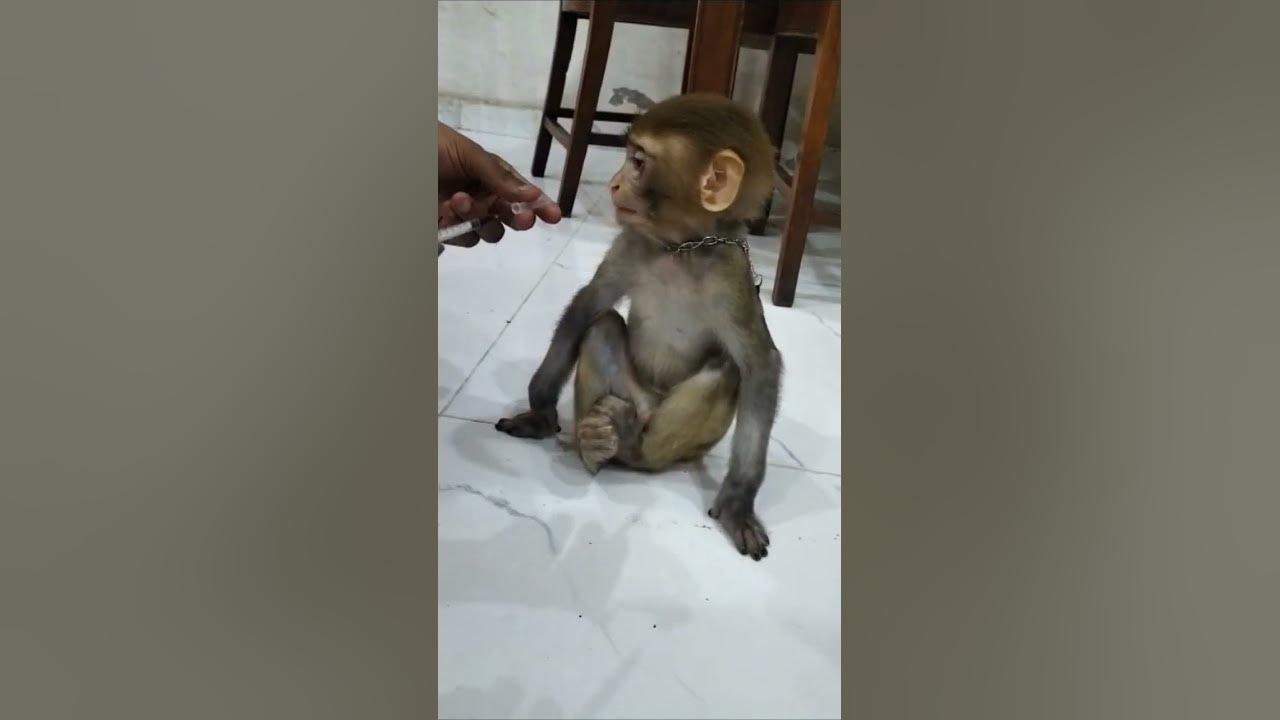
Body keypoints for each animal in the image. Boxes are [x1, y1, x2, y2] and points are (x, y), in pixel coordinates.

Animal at [496, 93, 783, 561]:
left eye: (639, 162)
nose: (614, 184)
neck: (682, 248)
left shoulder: (731, 276)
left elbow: (759, 364)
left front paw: (739, 500)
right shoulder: (632, 242)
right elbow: (588, 306)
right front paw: (540, 412)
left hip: (676, 437)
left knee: (725, 370)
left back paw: (631, 446)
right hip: (630, 394)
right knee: (604, 326)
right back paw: (596, 442)